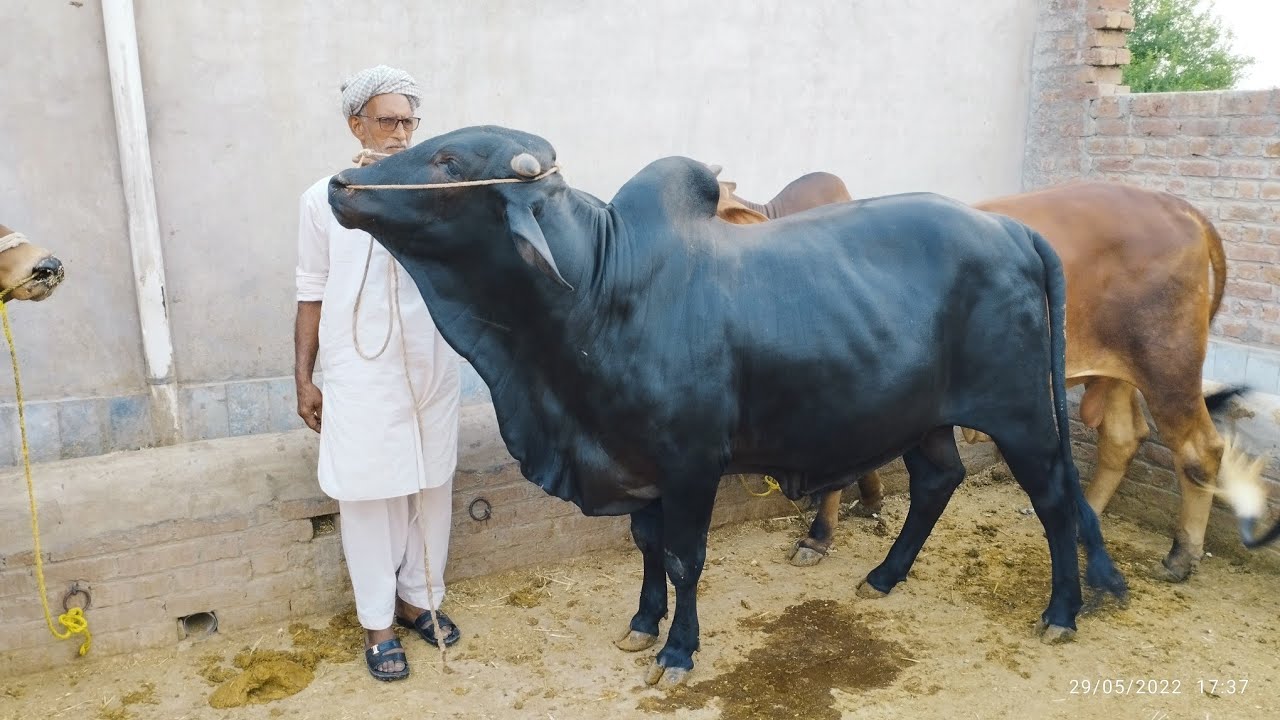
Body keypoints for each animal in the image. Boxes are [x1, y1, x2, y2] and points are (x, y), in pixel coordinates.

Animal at [327, 125, 1126, 687]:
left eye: (447, 160)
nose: (342, 180)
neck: (596, 289)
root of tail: (1012, 228)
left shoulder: (690, 464)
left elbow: (685, 558)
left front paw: (678, 651)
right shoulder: (638, 465)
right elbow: (647, 548)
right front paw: (641, 624)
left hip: (1023, 415)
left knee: (1054, 499)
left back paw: (1061, 612)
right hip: (920, 417)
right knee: (938, 481)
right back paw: (882, 578)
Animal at [716, 175, 1265, 577]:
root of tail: (1178, 207)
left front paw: (818, 537)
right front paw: (868, 504)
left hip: (1167, 363)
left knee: (1198, 451)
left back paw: (1180, 556)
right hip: (1119, 372)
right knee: (1123, 439)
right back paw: (1086, 521)